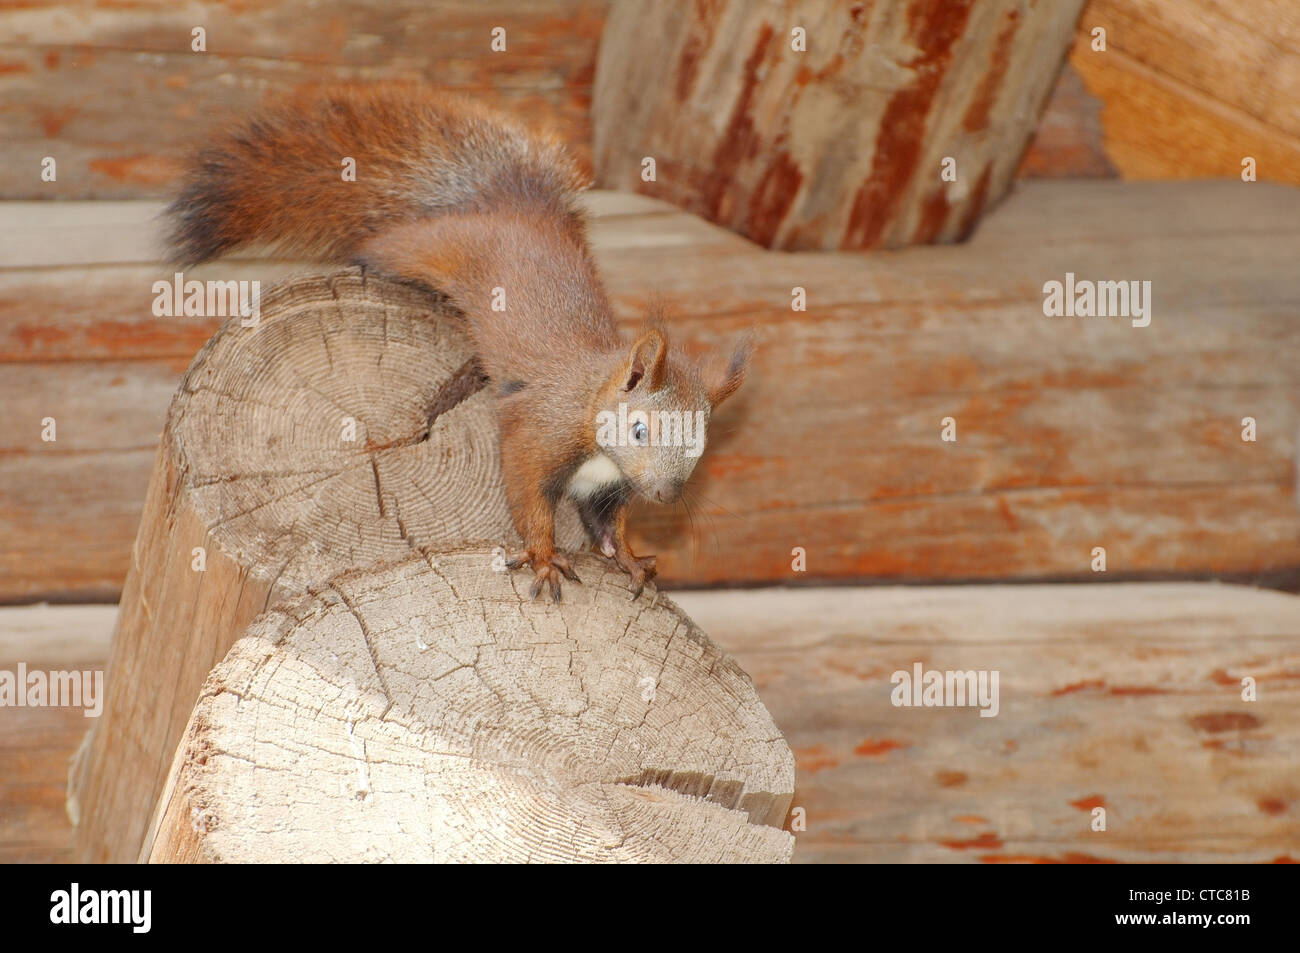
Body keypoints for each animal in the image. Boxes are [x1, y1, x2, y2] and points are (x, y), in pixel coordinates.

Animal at [165, 84, 751, 602]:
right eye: (638, 429)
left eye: (702, 443)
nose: (665, 494)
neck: (593, 414)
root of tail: (514, 212)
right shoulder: (537, 432)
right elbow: (527, 497)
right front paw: (544, 559)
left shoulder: (604, 489)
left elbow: (608, 530)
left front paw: (630, 560)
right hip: (431, 245)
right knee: (385, 244)